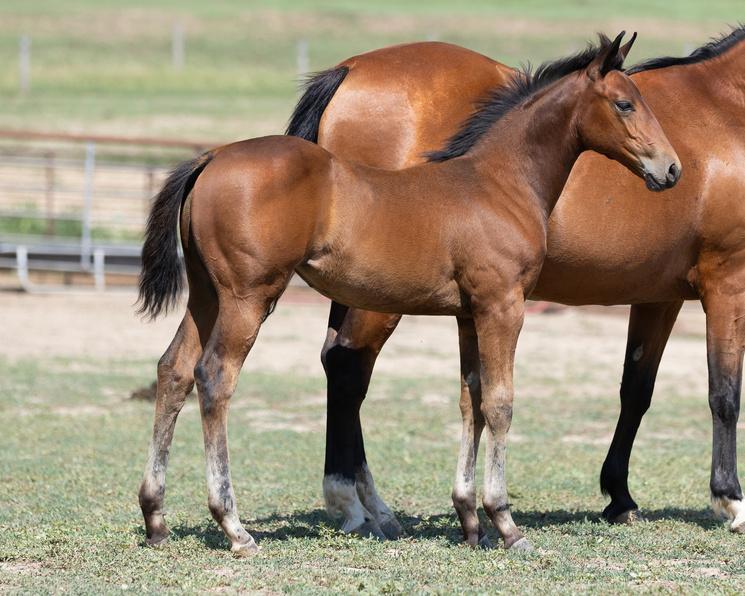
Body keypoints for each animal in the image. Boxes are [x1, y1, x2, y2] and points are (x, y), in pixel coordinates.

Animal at [136, 33, 680, 553]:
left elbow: (470, 399)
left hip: (206, 297)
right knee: (215, 378)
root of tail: (211, 157)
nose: (671, 169)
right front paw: (505, 524)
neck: (497, 183)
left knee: (174, 370)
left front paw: (470, 521)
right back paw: (234, 526)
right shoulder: (503, 305)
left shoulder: (469, 314)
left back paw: (156, 517)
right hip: (247, 298)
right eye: (625, 103)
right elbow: (500, 403)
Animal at [289, 26, 745, 540]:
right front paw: (730, 500)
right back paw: (360, 506)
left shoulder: (658, 295)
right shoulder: (728, 281)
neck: (727, 108)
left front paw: (620, 497)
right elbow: (724, 393)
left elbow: (636, 390)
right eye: (625, 105)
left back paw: (362, 503)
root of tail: (349, 69)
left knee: (336, 362)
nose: (671, 170)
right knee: (349, 368)